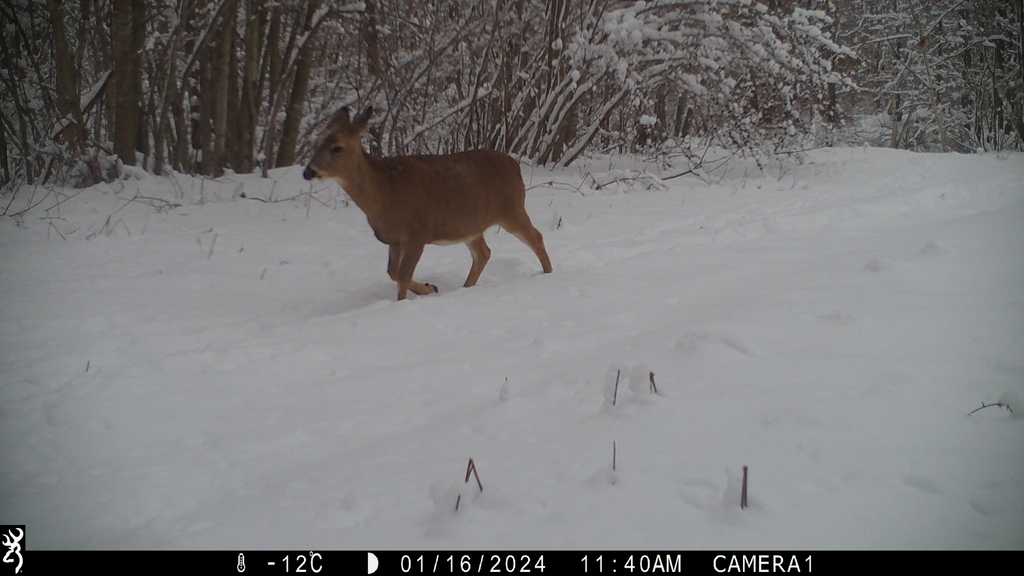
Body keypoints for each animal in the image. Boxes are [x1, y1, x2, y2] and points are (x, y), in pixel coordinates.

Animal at [303, 107, 553, 300]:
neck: (384, 194)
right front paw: (429, 288)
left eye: (337, 147)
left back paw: (549, 274)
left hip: (512, 208)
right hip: (471, 225)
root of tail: (515, 166)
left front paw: (404, 301)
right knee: (483, 253)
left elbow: (403, 275)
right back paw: (465, 287)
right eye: (316, 143)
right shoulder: (394, 239)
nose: (308, 172)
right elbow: (393, 272)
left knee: (536, 236)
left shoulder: (417, 232)